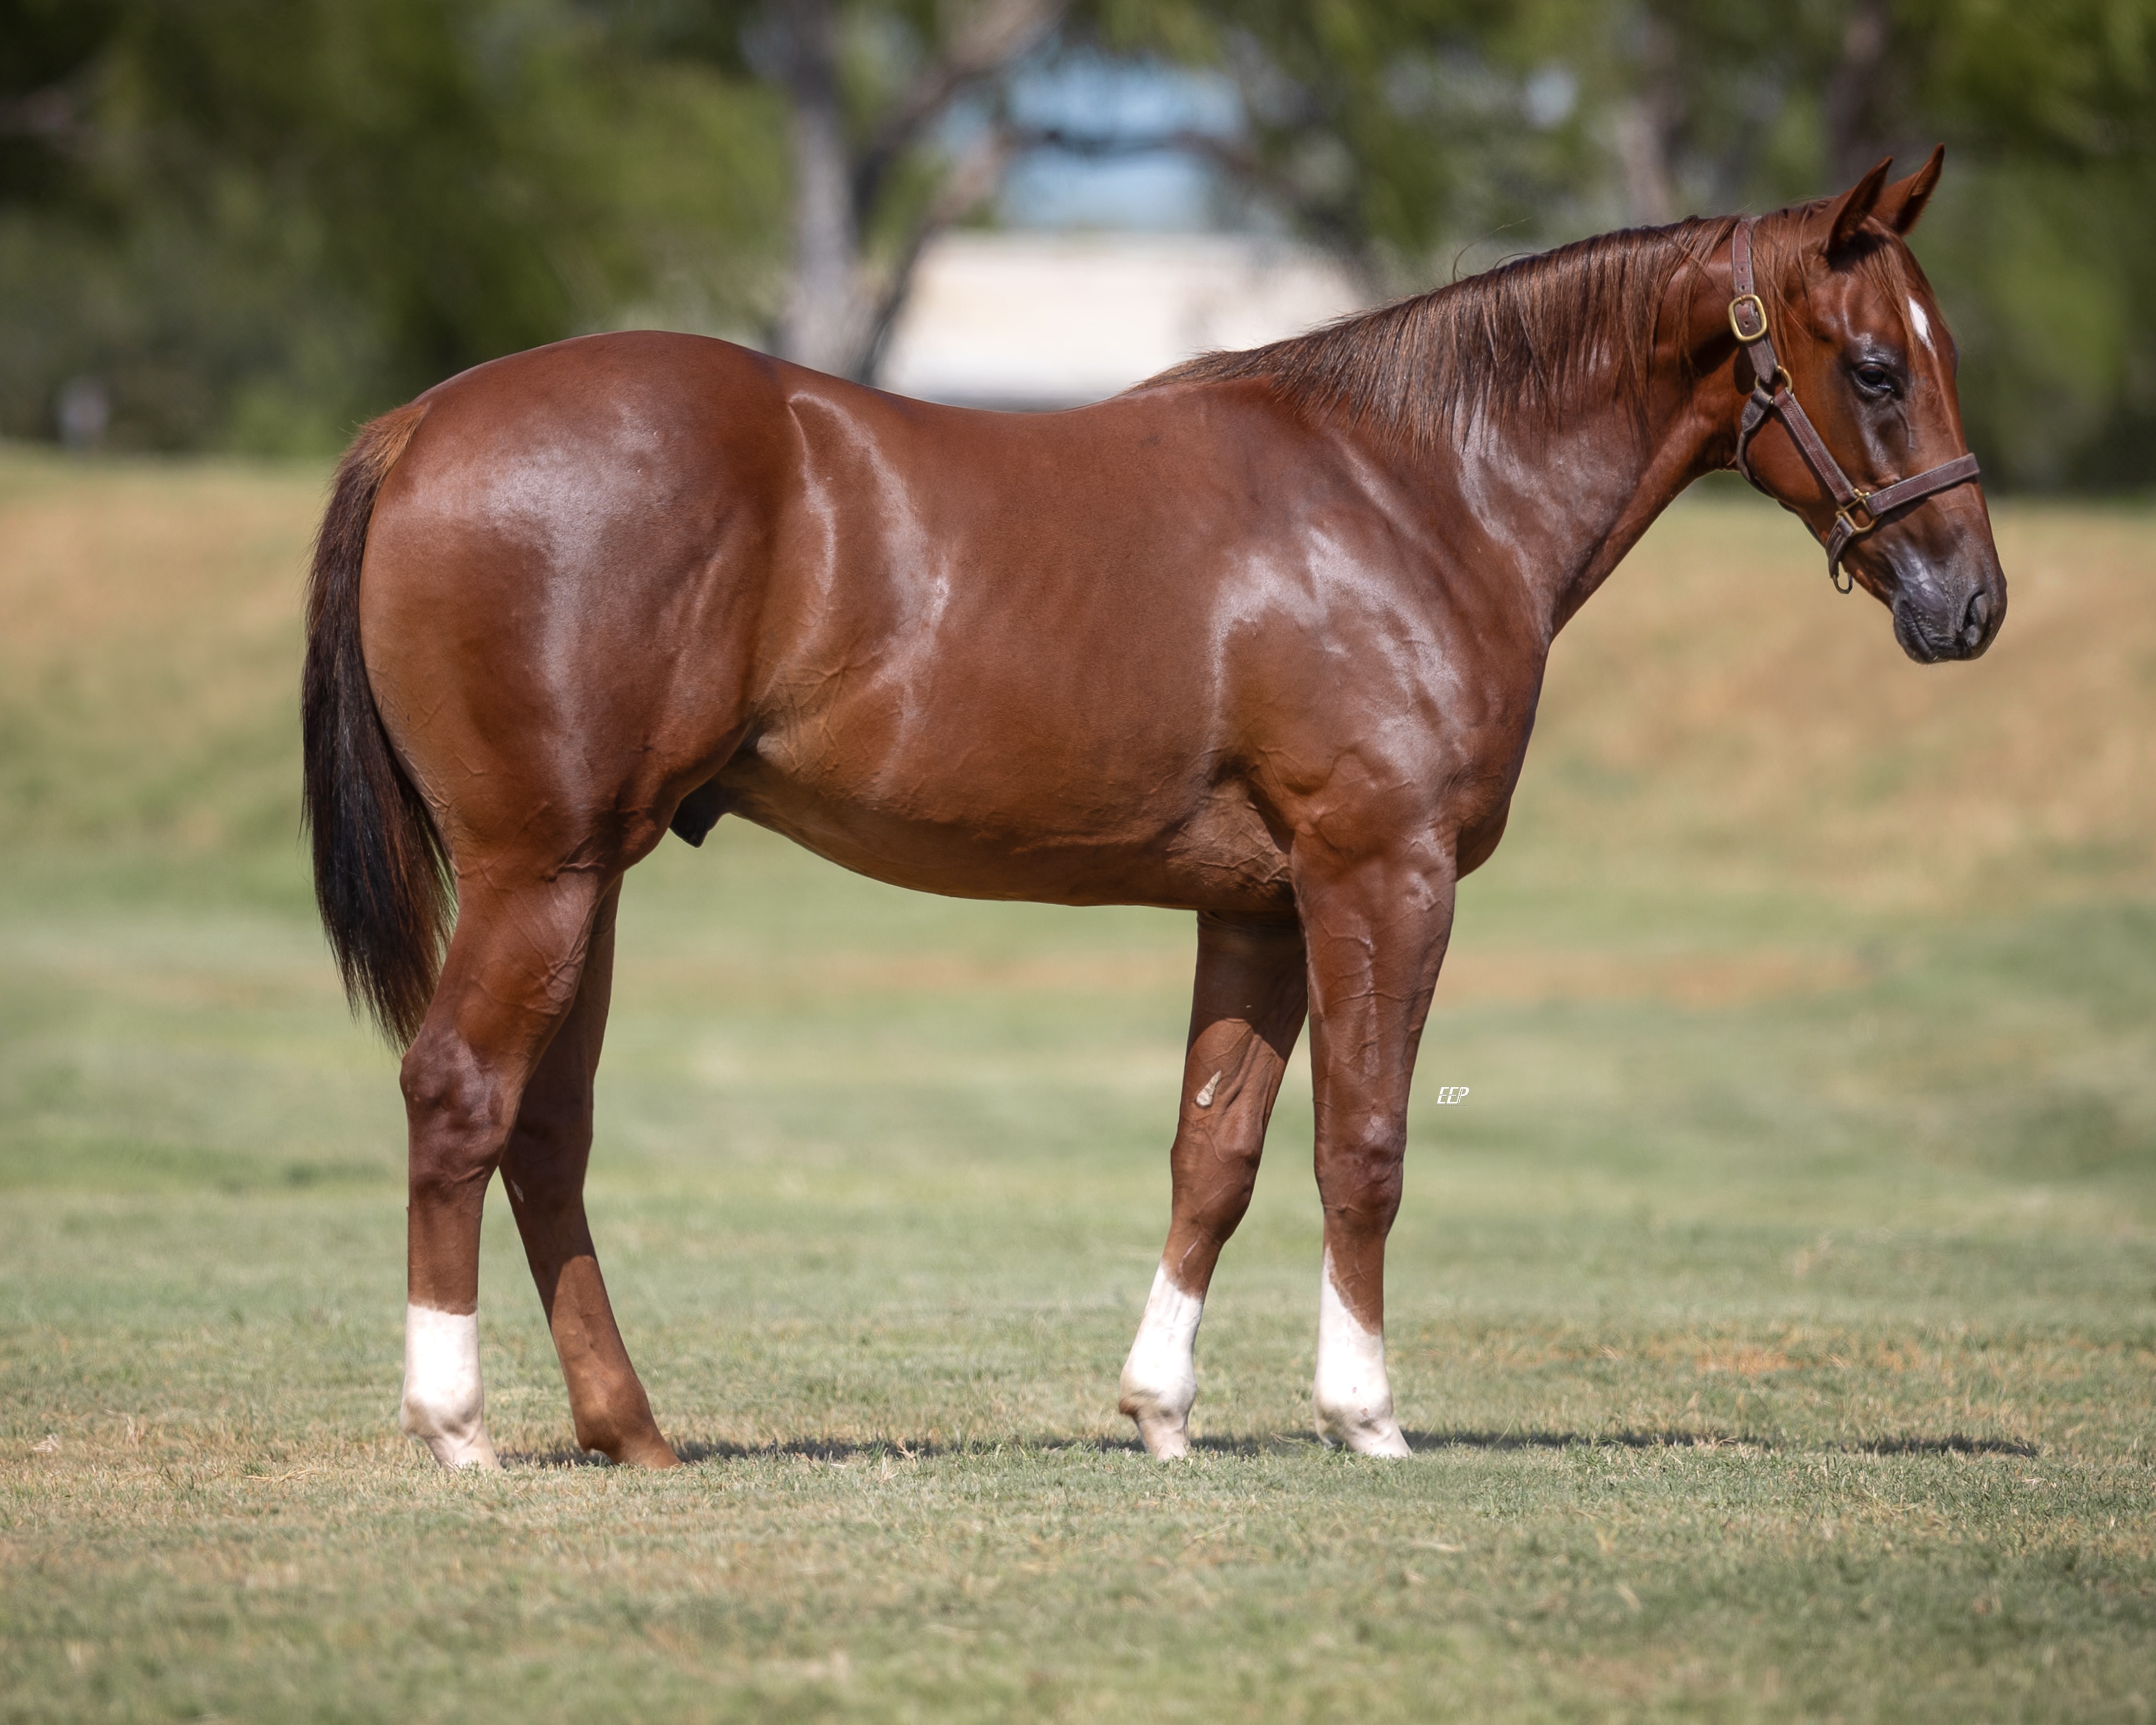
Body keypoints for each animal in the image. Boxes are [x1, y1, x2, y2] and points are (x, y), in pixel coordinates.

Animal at [301, 151, 2003, 1469]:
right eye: (1874, 368)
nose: (1971, 604)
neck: (1415, 492)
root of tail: (423, 424)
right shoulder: (1382, 875)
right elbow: (1363, 1142)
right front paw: (1364, 1415)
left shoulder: (1254, 905)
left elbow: (1217, 1152)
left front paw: (1162, 1410)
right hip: (540, 873)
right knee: (460, 1094)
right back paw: (455, 1426)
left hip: (589, 880)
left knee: (548, 1131)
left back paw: (631, 1430)